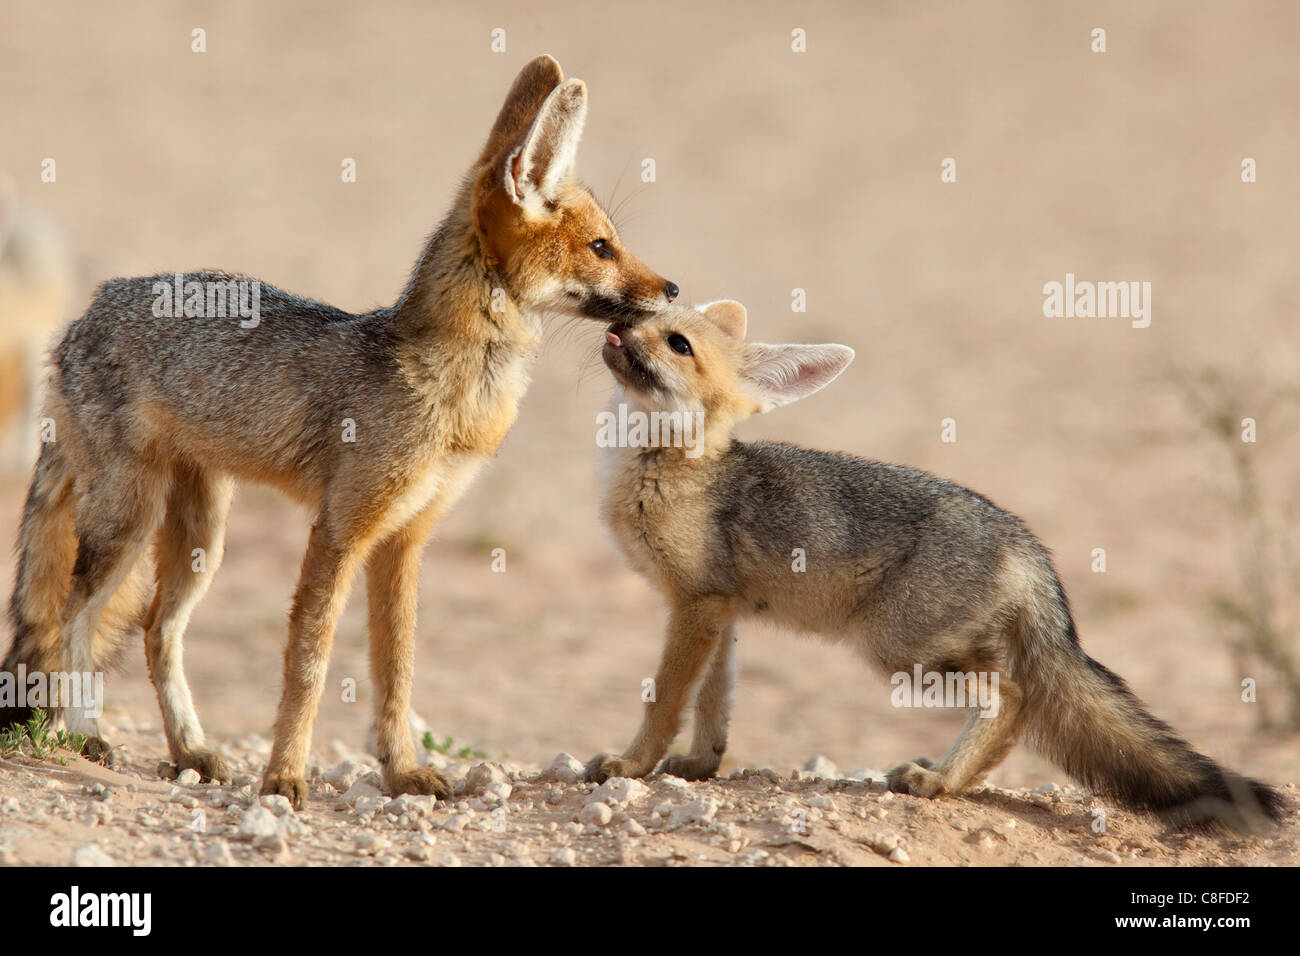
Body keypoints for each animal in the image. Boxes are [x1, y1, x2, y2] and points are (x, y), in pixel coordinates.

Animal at [0, 54, 677, 809]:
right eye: (602, 247)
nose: (673, 290)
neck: (448, 386)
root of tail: (85, 311)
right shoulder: (340, 531)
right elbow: (311, 664)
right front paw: (285, 777)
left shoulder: (404, 542)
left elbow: (396, 670)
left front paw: (402, 770)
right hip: (131, 520)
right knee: (75, 612)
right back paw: (84, 733)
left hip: (203, 539)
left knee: (155, 630)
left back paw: (189, 749)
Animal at [583, 300, 1285, 831]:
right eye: (647, 317)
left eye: (677, 343)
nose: (617, 323)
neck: (659, 467)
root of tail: (1025, 541)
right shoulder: (720, 610)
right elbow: (714, 703)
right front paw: (698, 767)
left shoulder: (696, 606)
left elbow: (665, 699)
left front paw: (632, 765)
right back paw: (952, 779)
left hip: (898, 649)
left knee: (1014, 697)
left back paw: (940, 780)